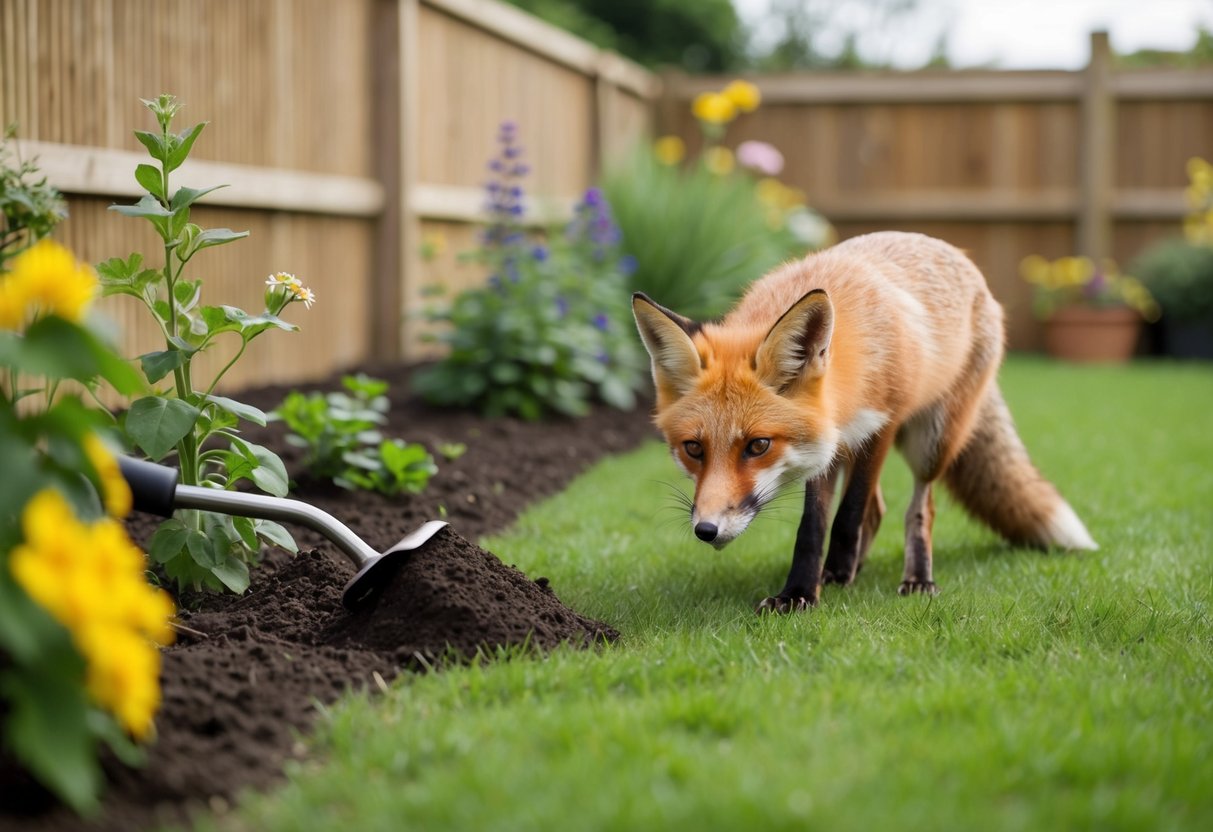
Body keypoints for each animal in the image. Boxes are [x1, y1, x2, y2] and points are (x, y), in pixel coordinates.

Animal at [632, 231, 1097, 613]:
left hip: (932, 439)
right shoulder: (823, 444)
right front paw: (800, 592)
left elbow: (849, 512)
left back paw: (914, 577)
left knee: (918, 507)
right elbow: (814, 525)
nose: (706, 530)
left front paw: (837, 571)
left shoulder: (882, 423)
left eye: (757, 445)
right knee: (879, 509)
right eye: (694, 448)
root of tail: (955, 253)